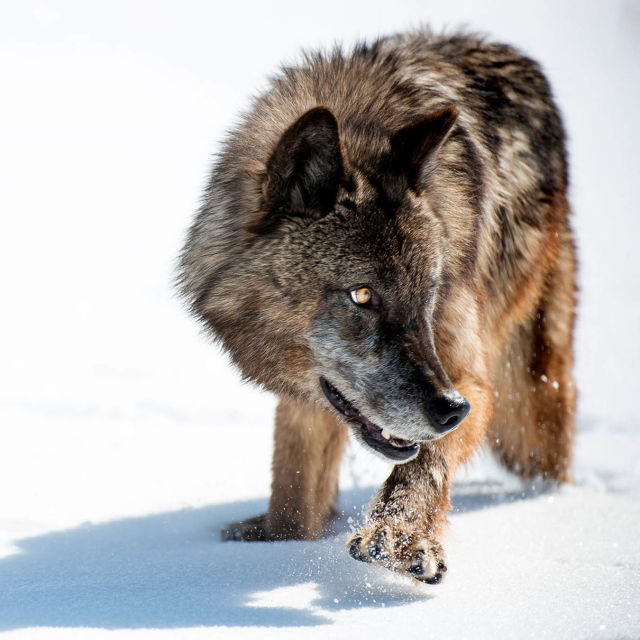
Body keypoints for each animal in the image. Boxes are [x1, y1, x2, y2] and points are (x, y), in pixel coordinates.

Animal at [178, 30, 576, 584]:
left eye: (428, 293)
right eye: (362, 296)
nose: (450, 409)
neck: (360, 125)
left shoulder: (469, 378)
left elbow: (425, 460)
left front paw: (401, 536)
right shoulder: (304, 404)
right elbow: (292, 505)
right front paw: (276, 547)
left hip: (529, 410)